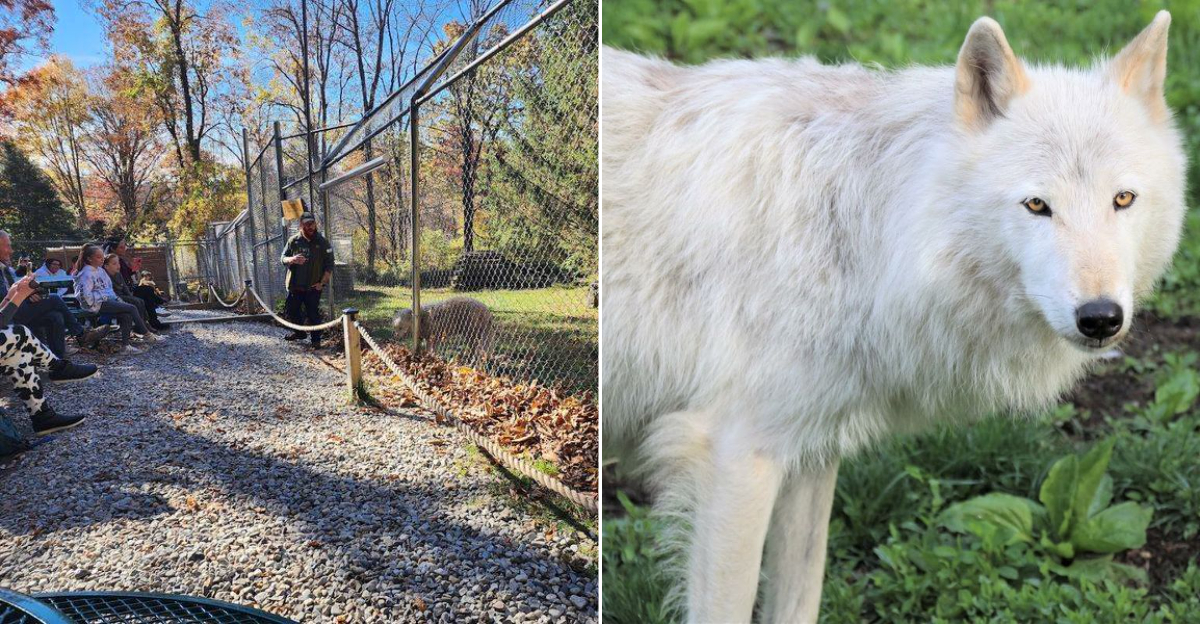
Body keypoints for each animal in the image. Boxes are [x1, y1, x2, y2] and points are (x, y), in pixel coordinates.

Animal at [602, 12, 1184, 623]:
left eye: (1123, 199)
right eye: (1037, 206)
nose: (1100, 318)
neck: (865, 230)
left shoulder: (811, 453)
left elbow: (799, 596)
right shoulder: (735, 456)